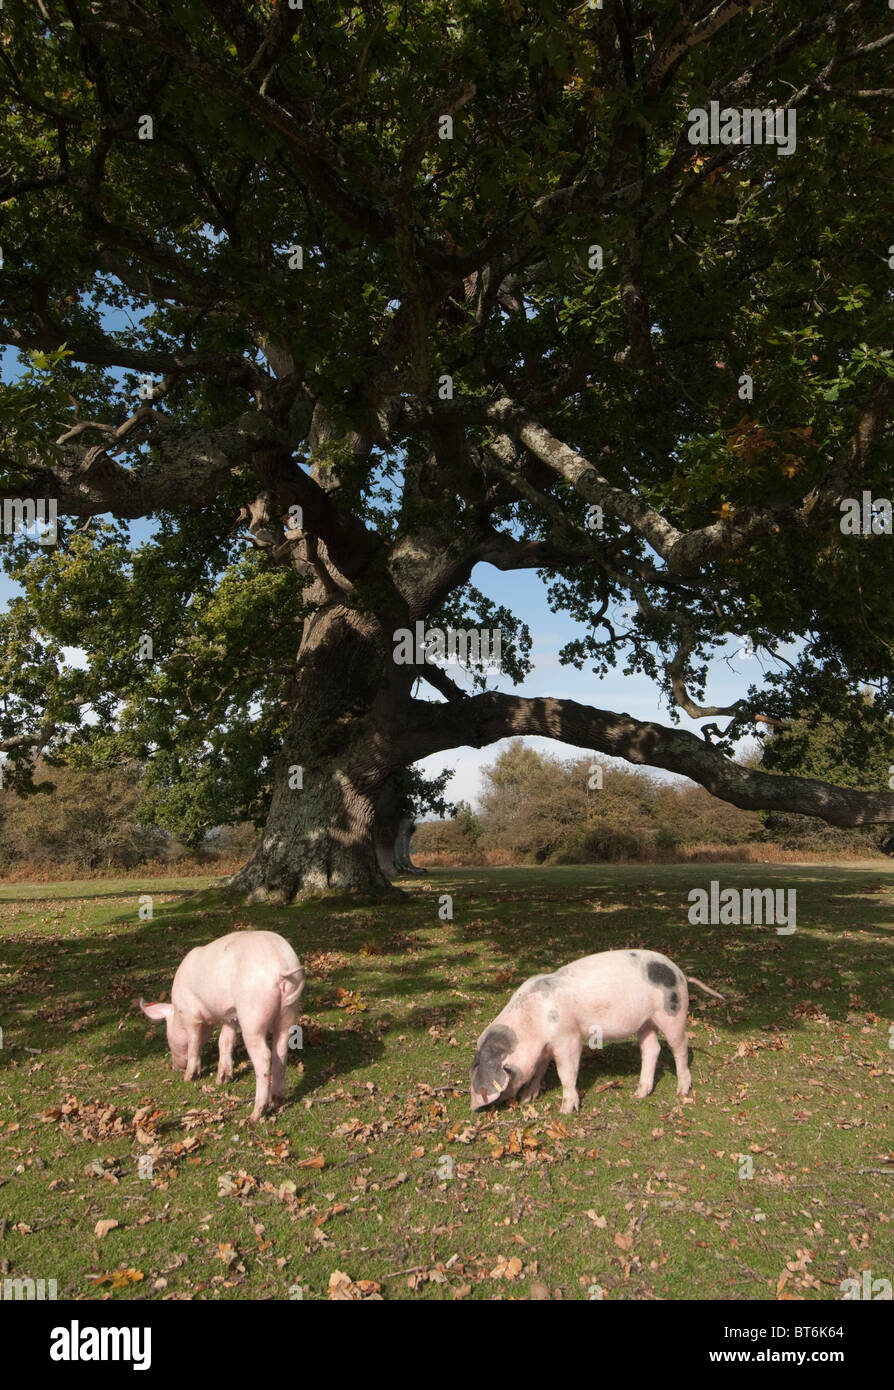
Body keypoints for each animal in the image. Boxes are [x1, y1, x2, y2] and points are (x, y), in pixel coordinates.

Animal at [140, 930, 305, 1121]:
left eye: (168, 1036)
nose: (176, 1067)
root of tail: (281, 968)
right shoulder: (230, 1017)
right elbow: (224, 1041)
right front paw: (221, 1081)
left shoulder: (191, 1015)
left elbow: (194, 1043)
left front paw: (188, 1077)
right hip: (288, 1013)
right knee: (281, 1052)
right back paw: (277, 1101)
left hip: (253, 1014)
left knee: (264, 1056)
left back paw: (255, 1115)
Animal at [470, 950, 724, 1114]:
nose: (475, 1108)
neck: (532, 1025)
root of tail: (680, 973)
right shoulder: (545, 1048)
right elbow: (539, 1070)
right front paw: (526, 1099)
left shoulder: (568, 1038)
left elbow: (566, 1073)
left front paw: (566, 1111)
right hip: (645, 1022)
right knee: (652, 1049)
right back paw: (639, 1093)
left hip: (673, 1013)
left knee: (680, 1047)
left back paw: (681, 1091)